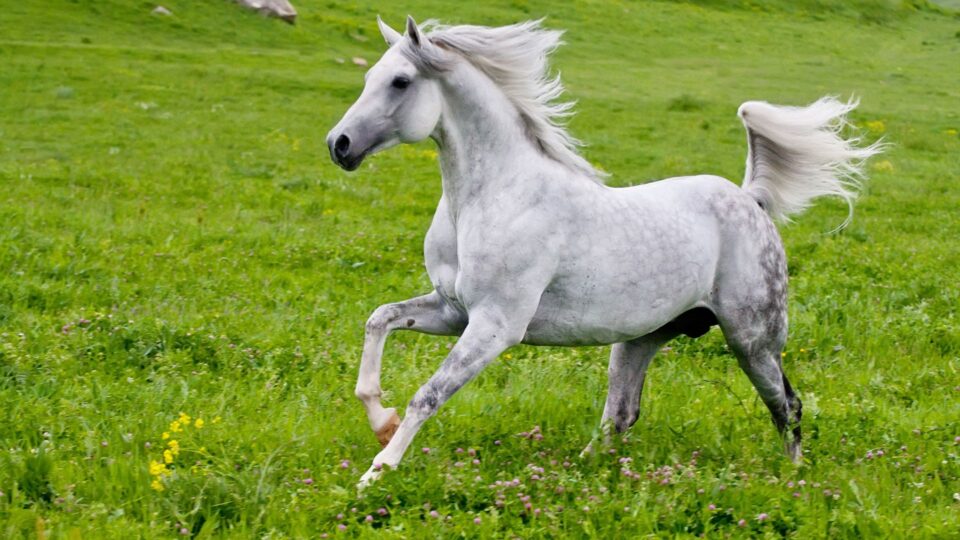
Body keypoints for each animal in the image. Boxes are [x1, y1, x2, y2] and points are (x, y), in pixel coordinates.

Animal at [326, 16, 882, 487]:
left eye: (400, 82)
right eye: (371, 75)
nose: (339, 144)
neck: (494, 198)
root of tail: (750, 198)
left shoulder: (495, 325)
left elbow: (429, 394)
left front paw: (376, 471)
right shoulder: (452, 310)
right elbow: (380, 319)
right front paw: (379, 419)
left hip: (754, 340)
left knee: (787, 405)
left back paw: (794, 480)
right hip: (640, 340)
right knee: (621, 414)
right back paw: (579, 473)